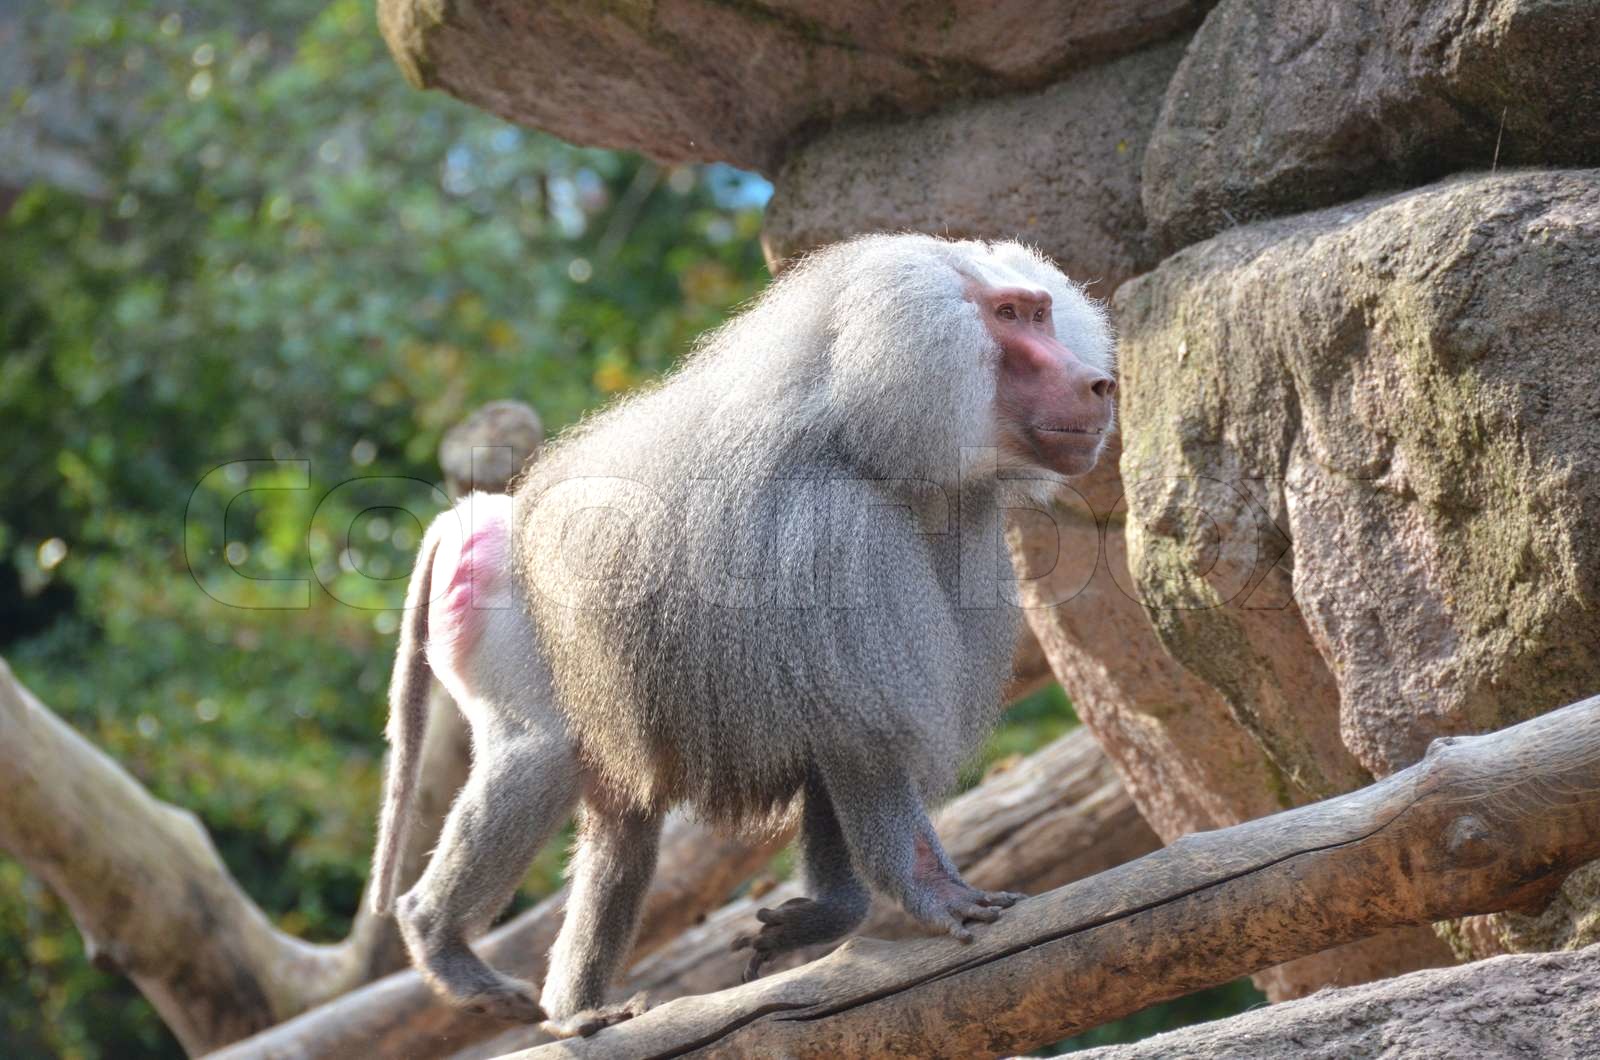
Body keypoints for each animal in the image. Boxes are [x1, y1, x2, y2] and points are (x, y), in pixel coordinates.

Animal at [369, 233, 1117, 1037]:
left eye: (1042, 312)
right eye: (1007, 316)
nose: (1099, 384)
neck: (867, 436)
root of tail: (482, 517)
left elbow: (841, 736)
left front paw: (820, 917)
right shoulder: (828, 533)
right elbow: (868, 736)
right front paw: (933, 892)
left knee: (624, 826)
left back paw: (577, 1015)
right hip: (512, 620)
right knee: (540, 755)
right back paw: (440, 943)